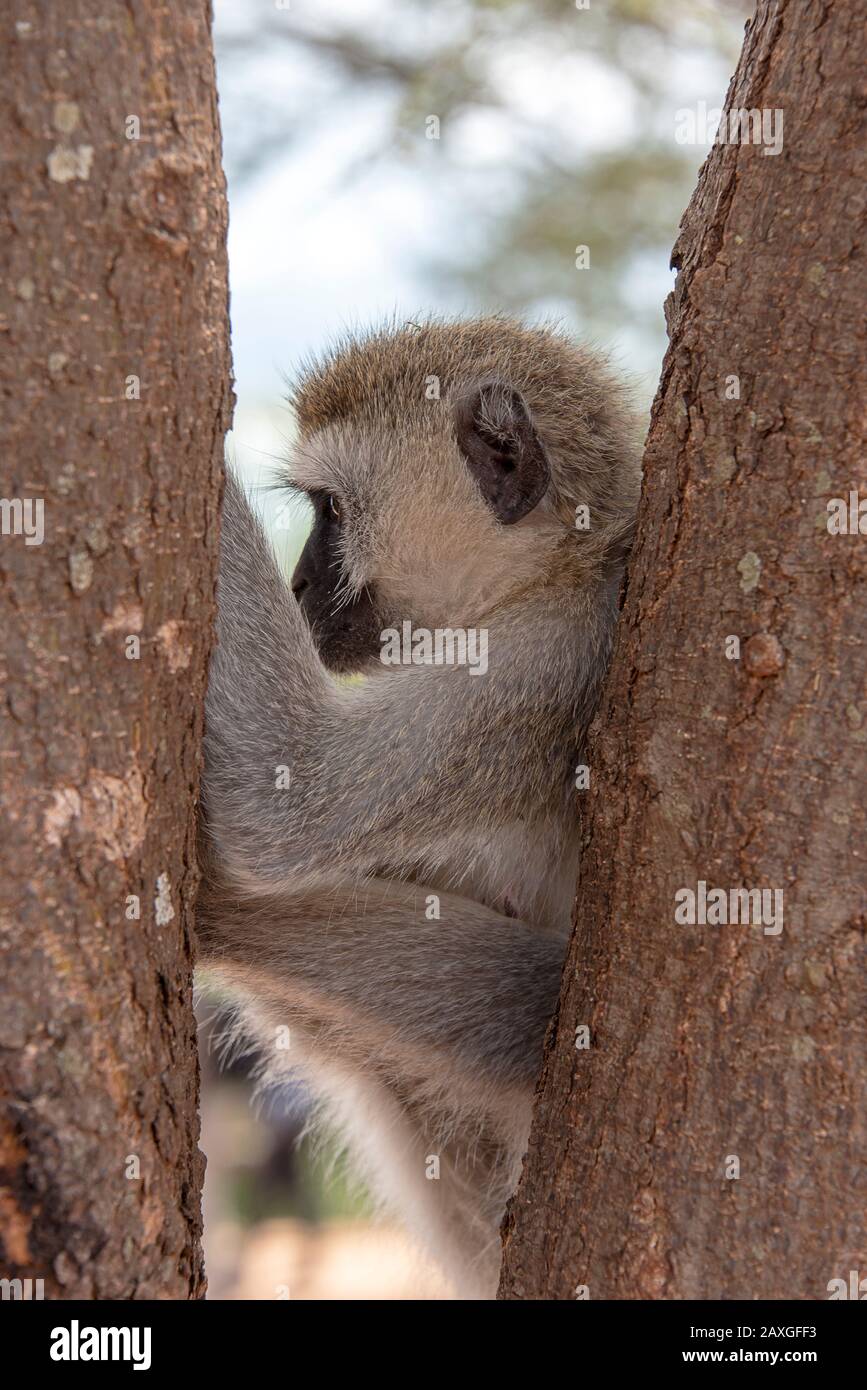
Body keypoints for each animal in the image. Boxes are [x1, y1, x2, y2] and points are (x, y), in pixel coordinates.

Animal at [197, 316, 640, 1299]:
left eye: (328, 512)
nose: (295, 588)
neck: (545, 575)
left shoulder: (541, 661)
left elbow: (293, 798)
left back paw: (207, 909)